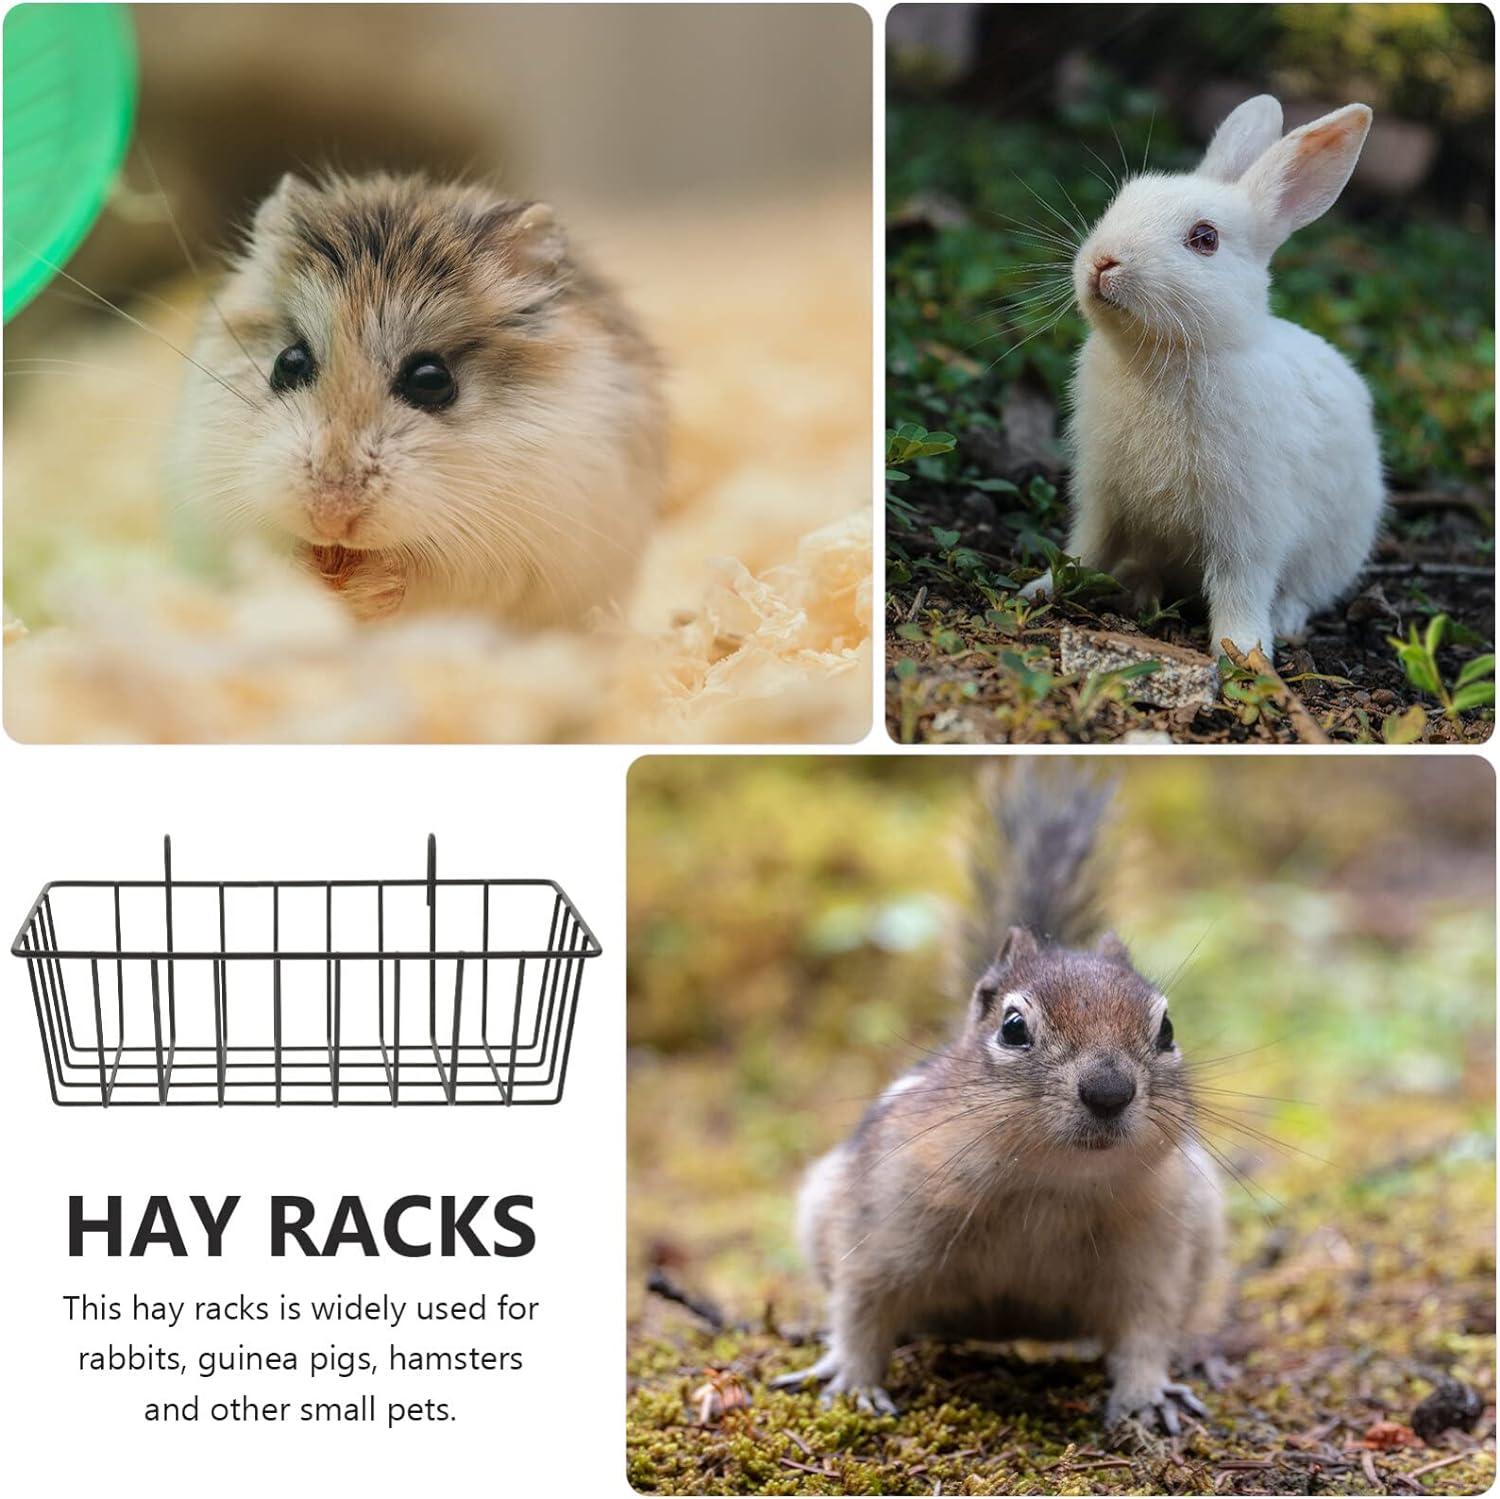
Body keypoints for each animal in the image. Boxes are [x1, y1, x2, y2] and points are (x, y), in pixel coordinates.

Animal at [1021, 96, 1384, 661]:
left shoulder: (1249, 524)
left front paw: (1243, 652)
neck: (1166, 354)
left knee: (1304, 591)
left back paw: (1284, 621)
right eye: (1121, 201)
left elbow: (1241, 586)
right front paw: (1041, 588)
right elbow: (1086, 548)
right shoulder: (1102, 496)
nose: (1103, 261)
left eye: (1205, 239)